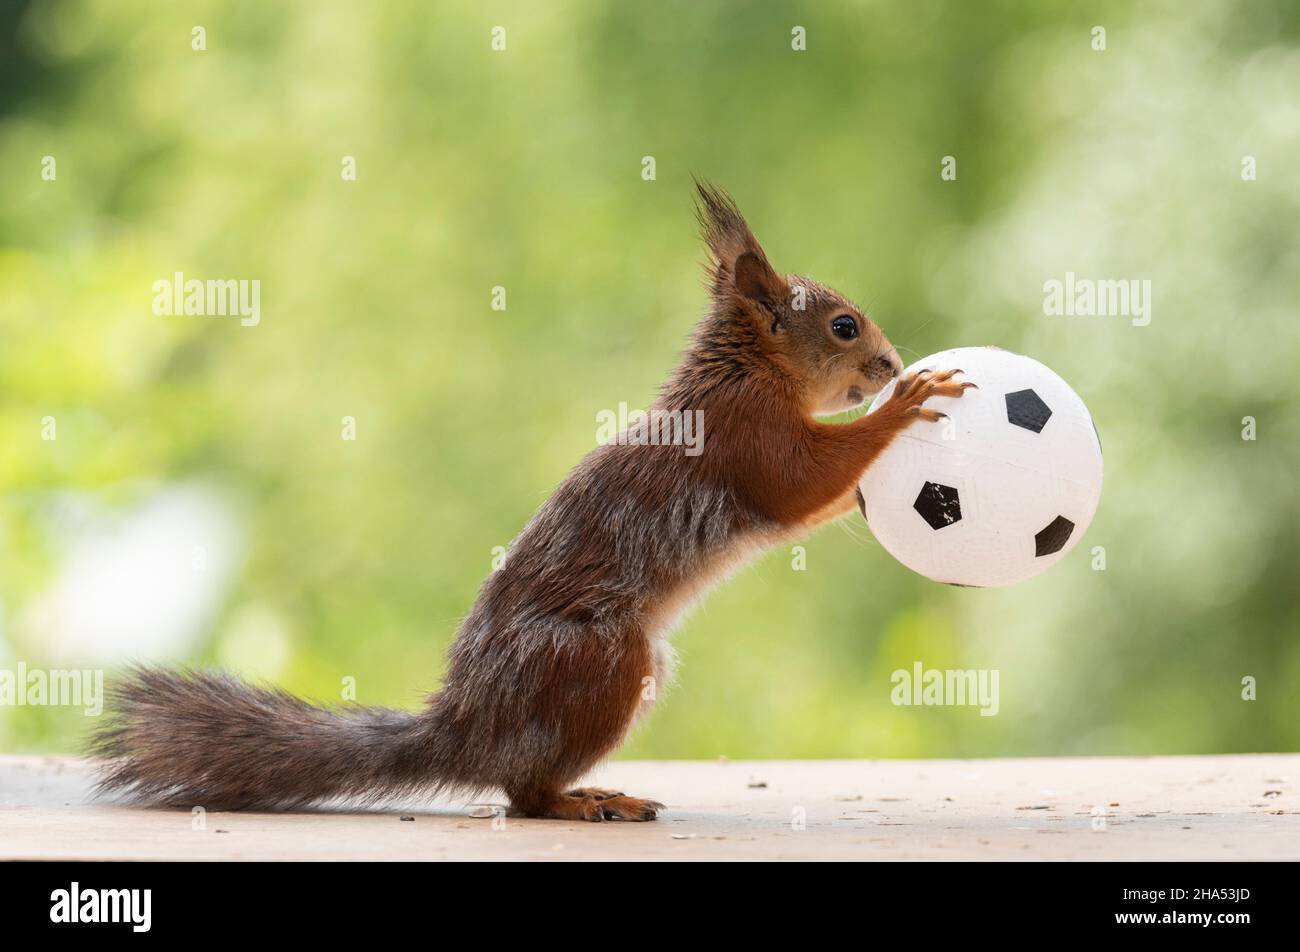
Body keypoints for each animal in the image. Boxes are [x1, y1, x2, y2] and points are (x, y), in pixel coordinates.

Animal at [94, 183, 973, 822]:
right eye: (844, 326)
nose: (888, 363)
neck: (745, 372)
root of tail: (468, 730)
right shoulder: (746, 439)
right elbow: (802, 482)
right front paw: (907, 401)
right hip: (599, 661)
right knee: (521, 796)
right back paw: (586, 800)